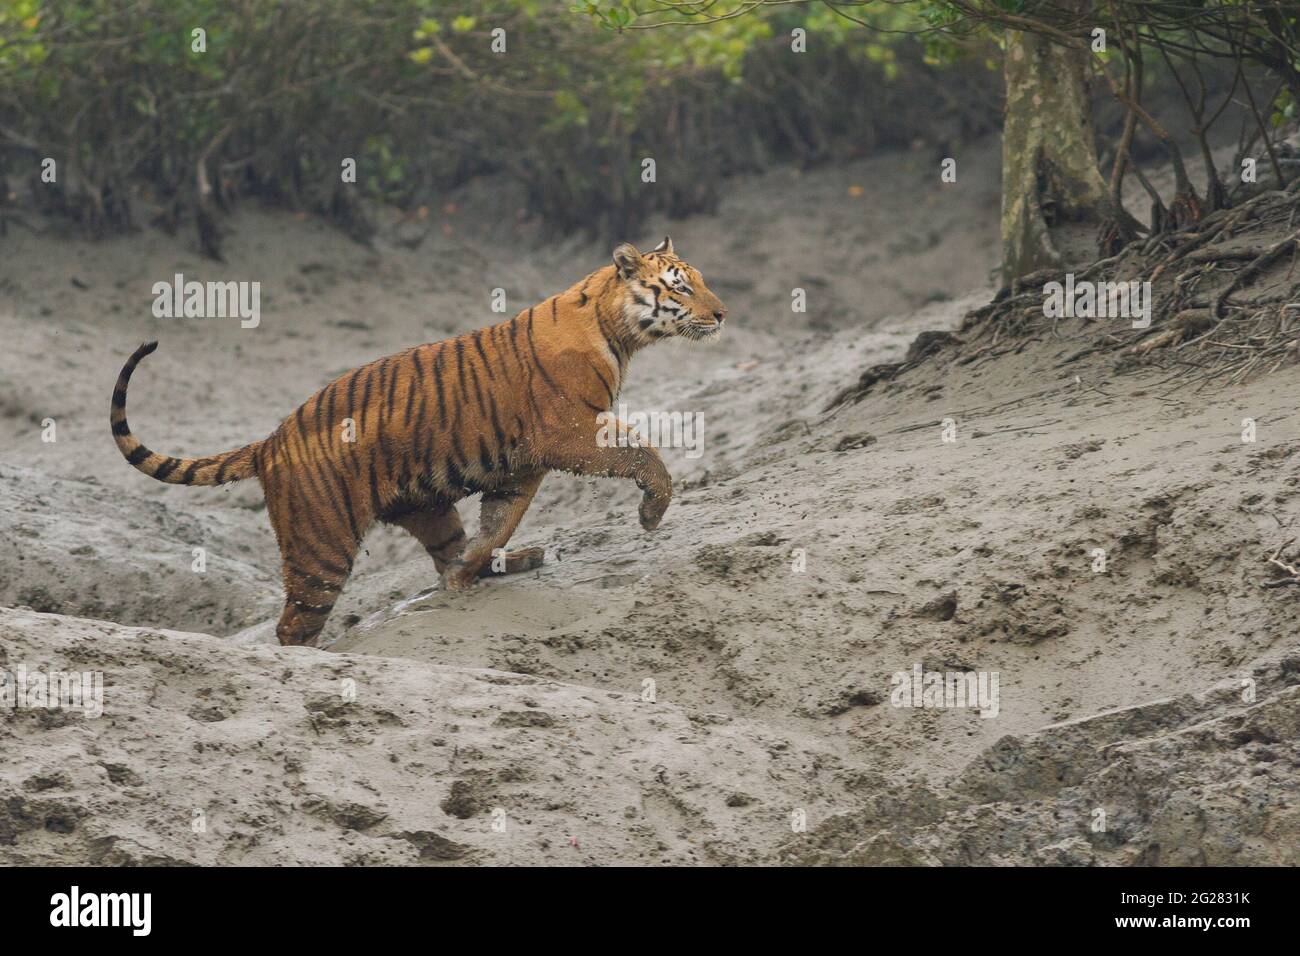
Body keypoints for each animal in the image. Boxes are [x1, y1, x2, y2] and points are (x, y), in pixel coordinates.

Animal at [111, 237, 727, 647]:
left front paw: (480, 562)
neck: (616, 329)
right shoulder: (571, 432)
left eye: (703, 279)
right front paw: (653, 512)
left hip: (424, 505)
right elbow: (642, 454)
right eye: (681, 286)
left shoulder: (522, 464)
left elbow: (499, 520)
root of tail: (268, 442)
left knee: (447, 547)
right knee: (293, 626)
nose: (722, 314)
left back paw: (491, 567)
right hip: (320, 549)